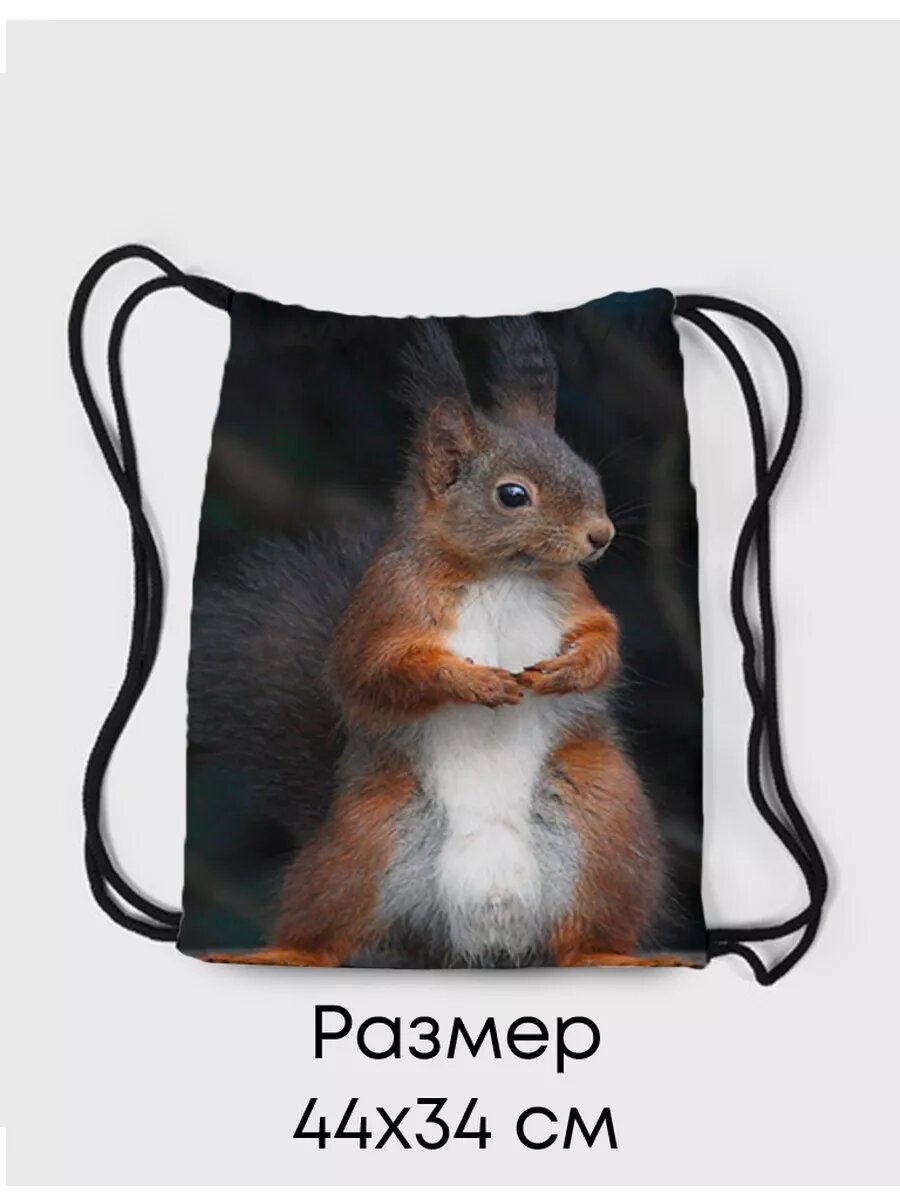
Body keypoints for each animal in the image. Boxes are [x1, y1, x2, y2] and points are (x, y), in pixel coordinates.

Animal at [190, 316, 666, 968]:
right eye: (512, 495)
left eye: (587, 470)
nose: (601, 535)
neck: (502, 574)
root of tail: (482, 927)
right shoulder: (383, 609)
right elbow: (378, 670)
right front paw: (474, 680)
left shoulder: (575, 598)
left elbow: (604, 638)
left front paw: (570, 670)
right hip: (361, 845)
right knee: (322, 929)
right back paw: (285, 953)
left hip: (605, 836)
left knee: (585, 936)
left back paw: (613, 955)